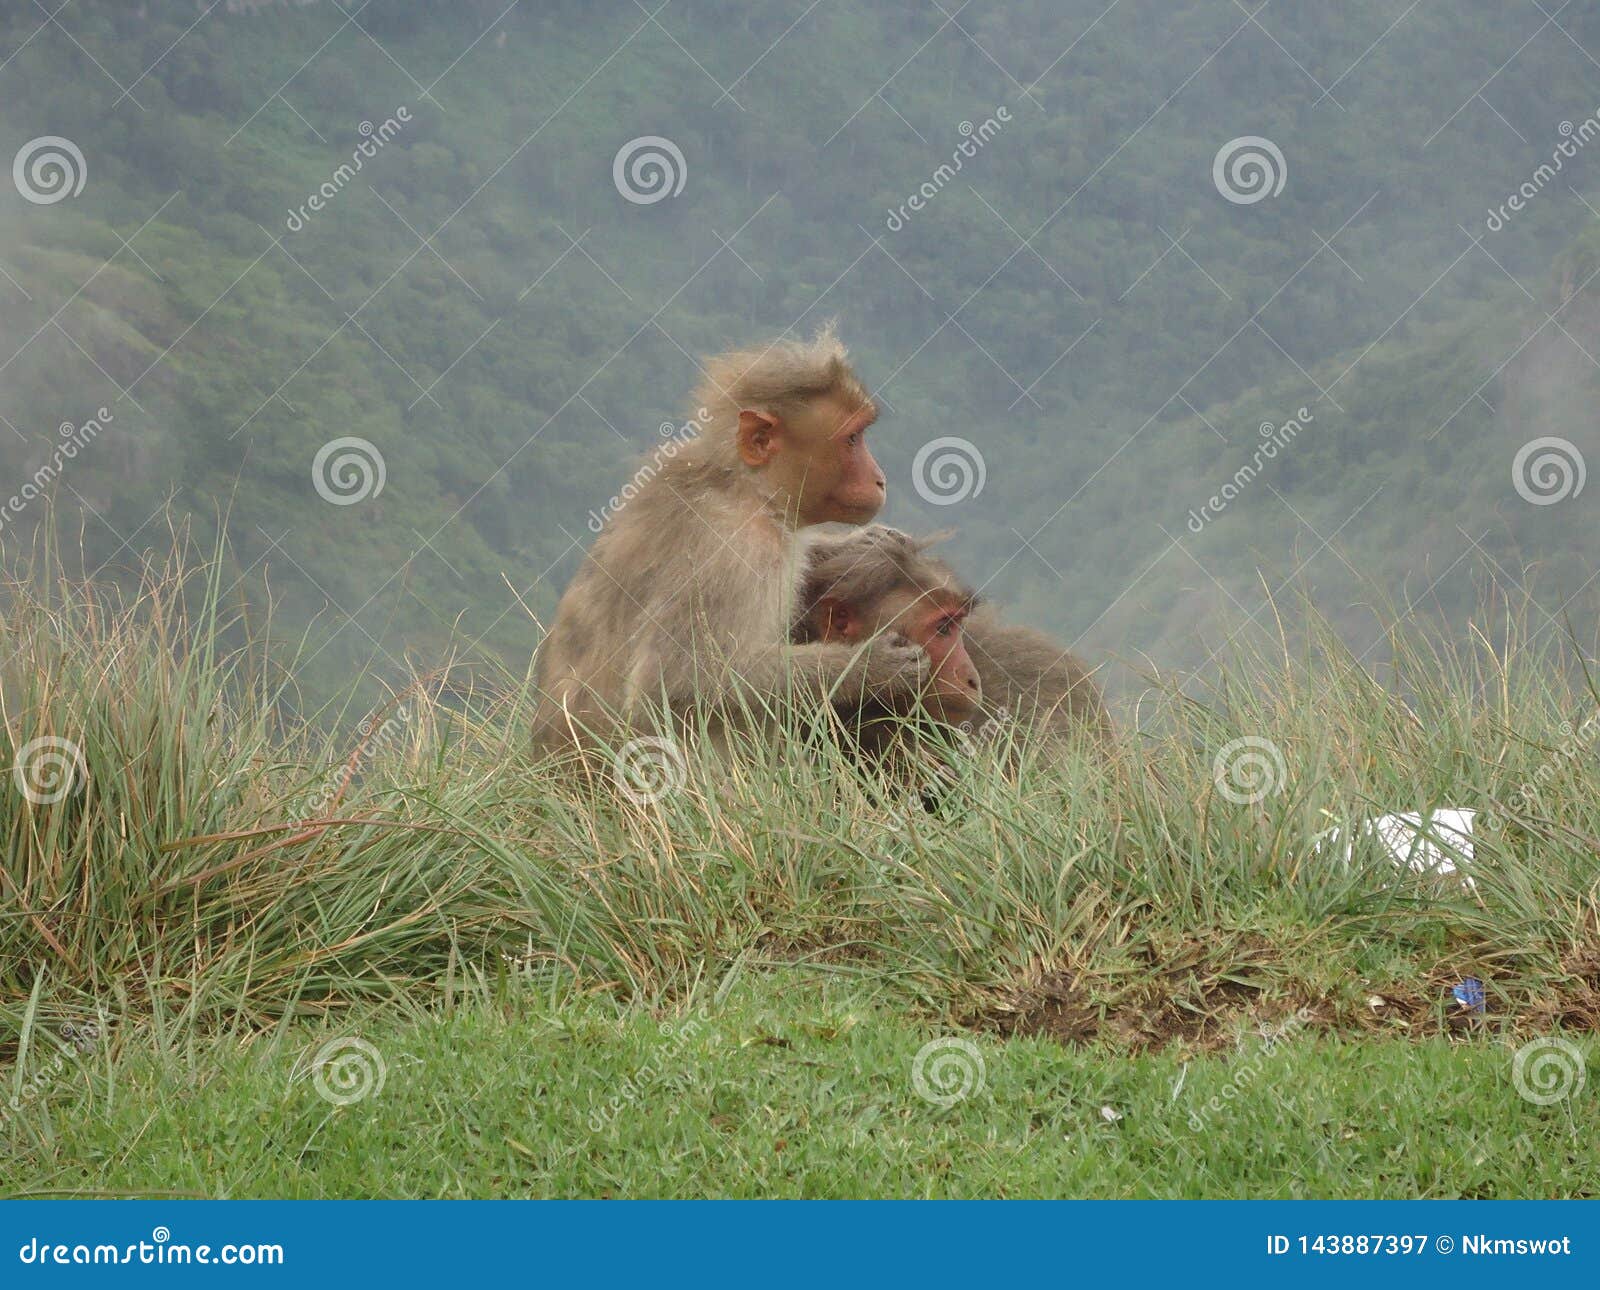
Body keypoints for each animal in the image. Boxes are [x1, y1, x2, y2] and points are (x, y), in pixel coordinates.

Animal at [531, 328, 930, 754]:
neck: (747, 489)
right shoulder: (734, 553)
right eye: (853, 439)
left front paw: (862, 545)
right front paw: (872, 667)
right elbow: (677, 683)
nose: (880, 479)